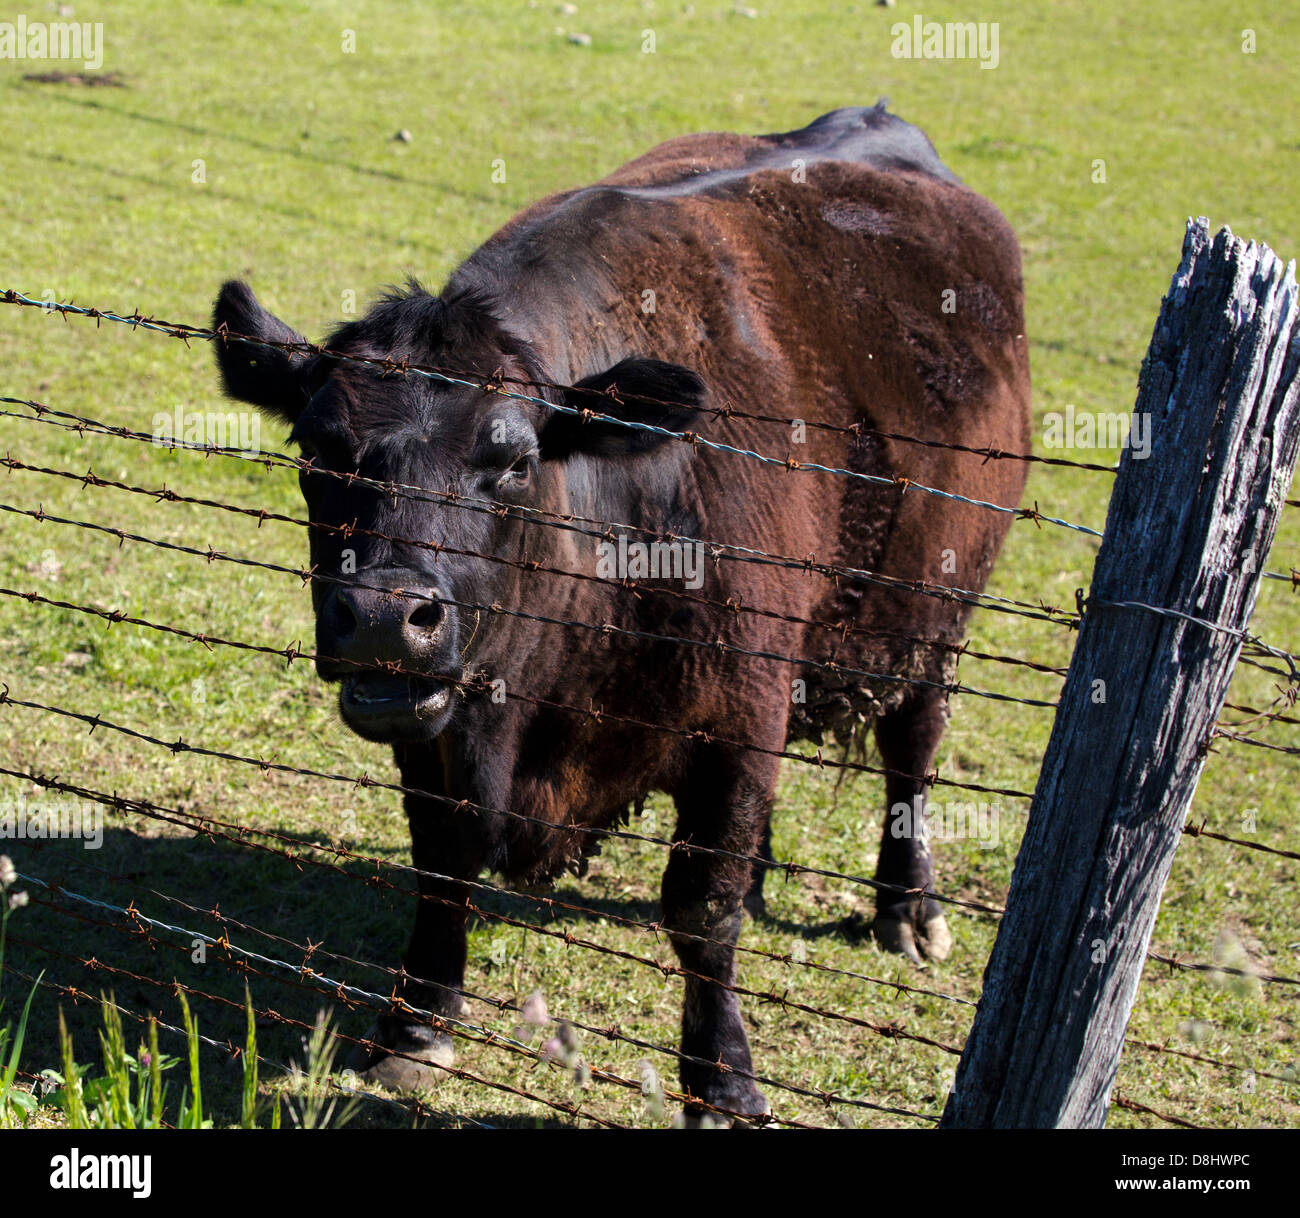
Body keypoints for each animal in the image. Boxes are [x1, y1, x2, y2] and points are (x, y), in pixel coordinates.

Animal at [212, 103, 1031, 1122]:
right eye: (316, 448)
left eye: (515, 460)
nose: (381, 615)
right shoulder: (431, 721)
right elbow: (441, 864)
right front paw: (416, 1024)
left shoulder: (738, 714)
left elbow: (702, 908)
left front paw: (724, 1078)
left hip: (934, 612)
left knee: (912, 745)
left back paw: (910, 909)